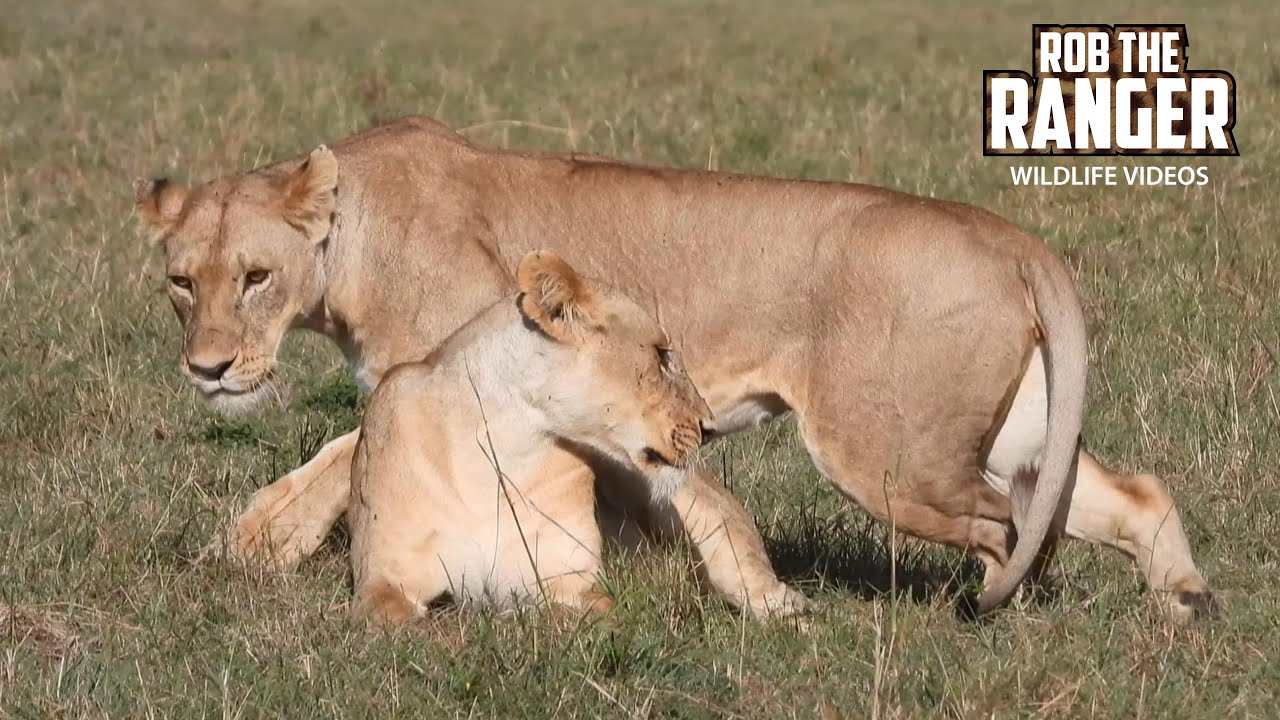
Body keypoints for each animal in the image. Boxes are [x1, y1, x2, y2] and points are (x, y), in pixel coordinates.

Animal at [349, 249, 711, 623]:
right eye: (661, 355)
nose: (708, 427)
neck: (504, 442)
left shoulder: (570, 581)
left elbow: (570, 614)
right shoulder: (383, 580)